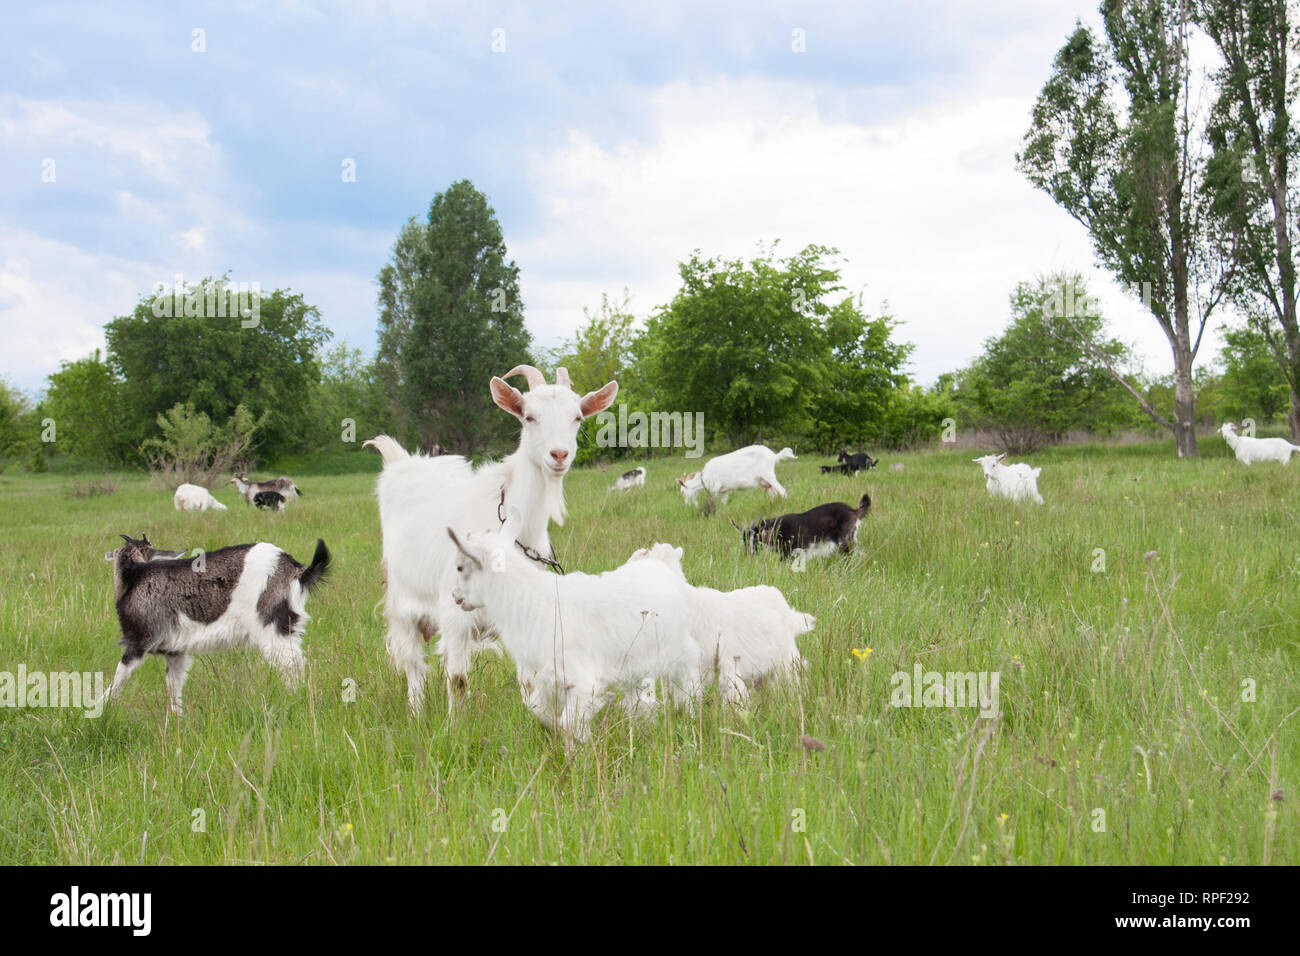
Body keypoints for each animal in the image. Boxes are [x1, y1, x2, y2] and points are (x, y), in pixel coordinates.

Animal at [101, 533, 330, 716]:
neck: (133, 578)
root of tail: (296, 569)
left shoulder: (138, 641)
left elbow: (118, 678)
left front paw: (102, 710)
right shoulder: (175, 652)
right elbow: (174, 689)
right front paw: (177, 722)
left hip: (272, 625)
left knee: (291, 665)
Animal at [365, 364, 618, 710]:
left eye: (577, 417)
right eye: (529, 416)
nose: (559, 454)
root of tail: (402, 461)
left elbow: (529, 680)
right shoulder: (454, 613)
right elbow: (458, 680)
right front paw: (454, 724)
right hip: (402, 603)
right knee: (413, 666)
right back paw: (416, 712)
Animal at [448, 508, 701, 747]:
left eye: (459, 567)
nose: (455, 596)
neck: (531, 599)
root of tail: (664, 563)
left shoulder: (580, 679)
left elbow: (569, 724)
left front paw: (577, 755)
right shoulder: (549, 678)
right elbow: (538, 710)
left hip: (681, 650)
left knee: (688, 682)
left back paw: (688, 716)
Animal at [732, 494, 871, 558]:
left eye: (757, 540)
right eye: (744, 541)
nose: (750, 555)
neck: (777, 529)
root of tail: (854, 511)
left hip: (845, 539)